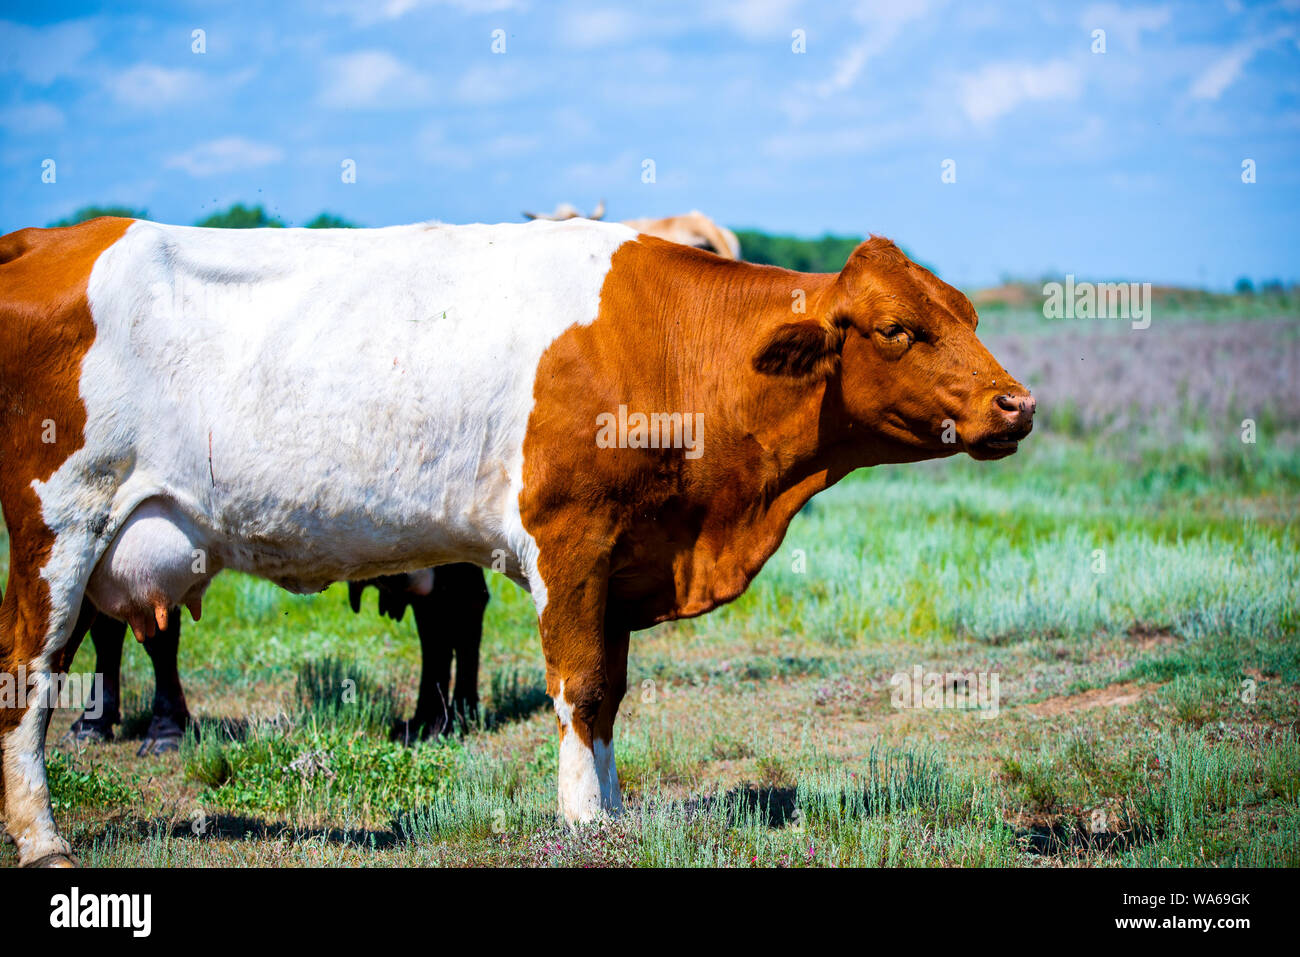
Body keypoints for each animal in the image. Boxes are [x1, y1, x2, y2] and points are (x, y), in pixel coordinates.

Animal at [65, 563, 489, 753]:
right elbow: (105, 632)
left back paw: (441, 721)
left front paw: (167, 729)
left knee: (455, 611)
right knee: (446, 616)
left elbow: (159, 638)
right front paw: (93, 721)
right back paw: (446, 715)